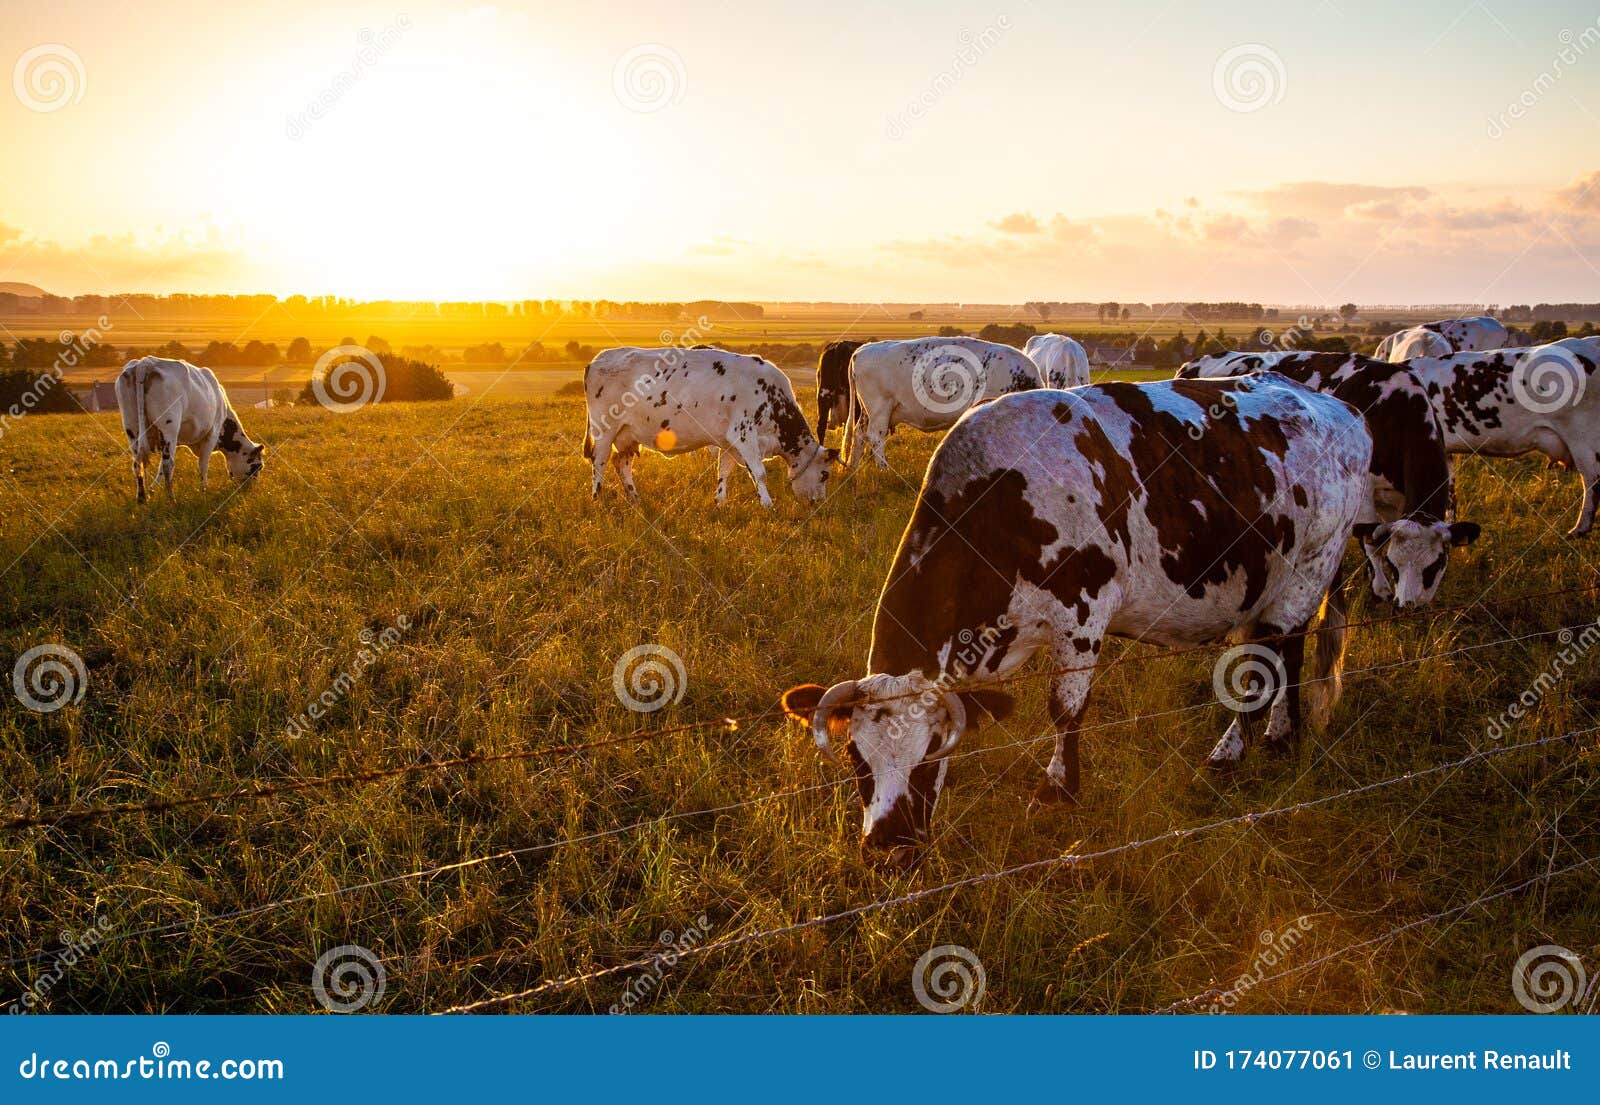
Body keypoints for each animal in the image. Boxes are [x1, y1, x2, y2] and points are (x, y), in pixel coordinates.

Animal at [115, 357, 265, 503]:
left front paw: (151, 490)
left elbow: (159, 470)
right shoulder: (212, 433)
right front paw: (204, 491)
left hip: (131, 426)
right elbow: (203, 464)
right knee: (168, 464)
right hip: (169, 426)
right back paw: (171, 499)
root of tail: (145, 363)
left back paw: (141, 498)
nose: (251, 489)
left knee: (138, 463)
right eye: (257, 466)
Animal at [582, 345, 837, 508]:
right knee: (599, 461)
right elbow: (760, 472)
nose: (819, 503)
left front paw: (721, 502)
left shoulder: (728, 441)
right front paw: (767, 504)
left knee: (621, 463)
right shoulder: (744, 433)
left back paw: (635, 498)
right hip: (604, 427)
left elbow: (724, 471)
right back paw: (597, 499)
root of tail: (597, 359)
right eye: (825, 474)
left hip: (627, 433)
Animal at [781, 375, 1371, 865]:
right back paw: (1280, 735)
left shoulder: (1084, 615)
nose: (890, 845)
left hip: (1307, 573)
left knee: (1272, 665)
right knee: (1283, 657)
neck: (1003, 503)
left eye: (929, 753)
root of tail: (1337, 407)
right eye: (856, 756)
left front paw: (1058, 791)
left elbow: (1066, 710)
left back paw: (1237, 750)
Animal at [842, 337, 1042, 468]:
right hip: (880, 408)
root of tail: (863, 350)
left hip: (868, 412)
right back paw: (884, 469)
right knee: (875, 437)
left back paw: (854, 469)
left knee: (859, 434)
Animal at [1177, 351, 1480, 607]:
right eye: (1396, 565)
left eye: (1436, 565)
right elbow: (1371, 538)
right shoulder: (1365, 488)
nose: (1409, 605)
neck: (1398, 408)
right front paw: (1379, 588)